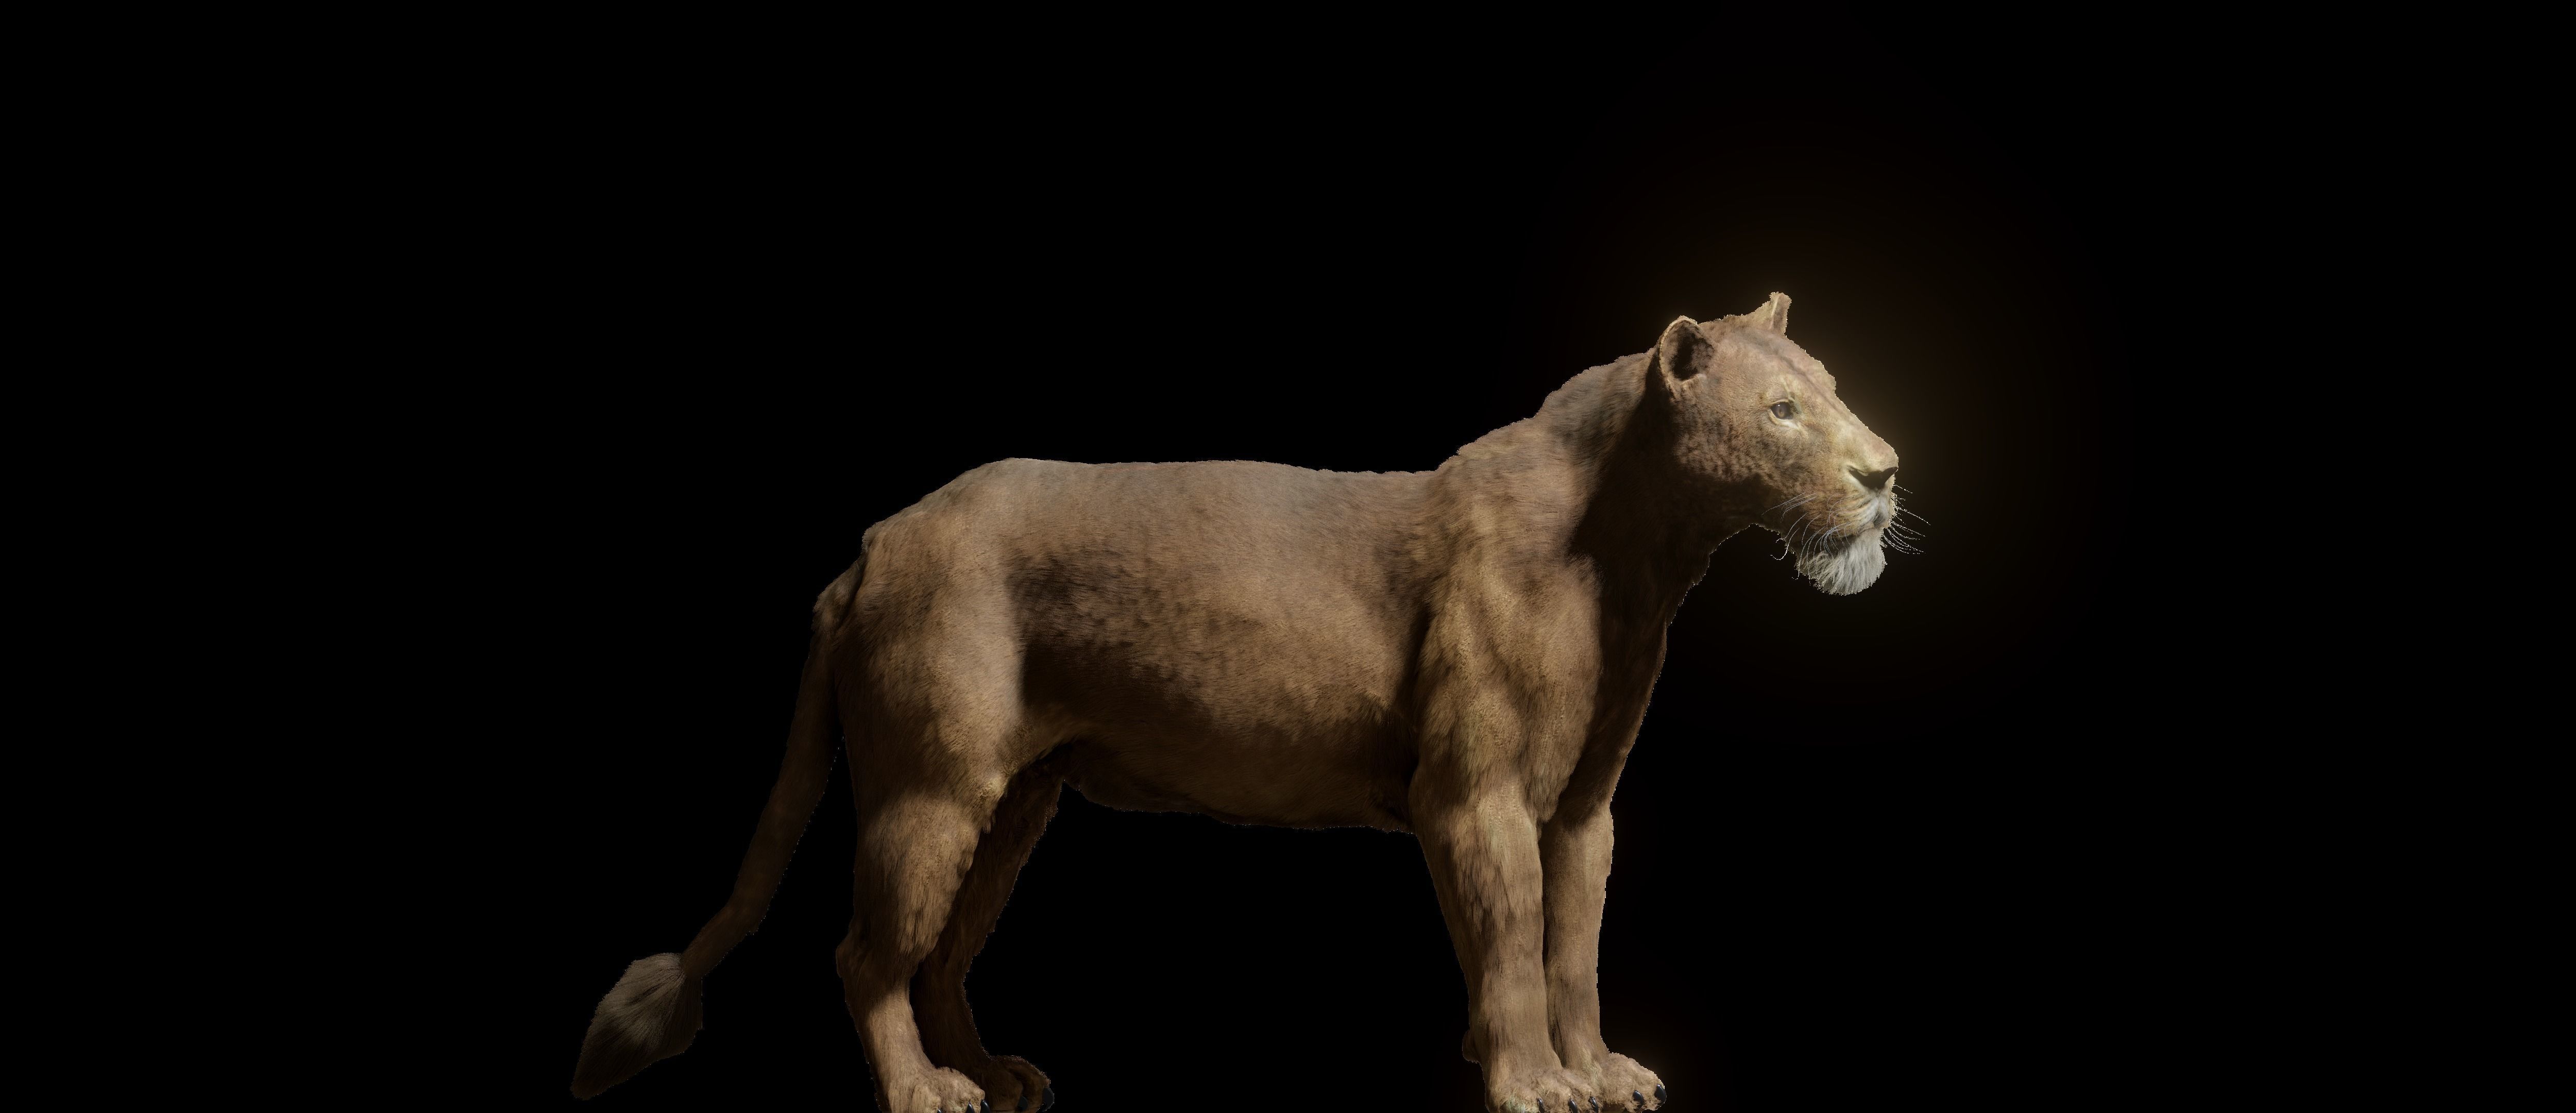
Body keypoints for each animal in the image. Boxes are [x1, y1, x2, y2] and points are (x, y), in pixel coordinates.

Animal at [573, 294, 1903, 1112]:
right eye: (1783, 411)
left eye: (1837, 385)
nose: (1884, 471)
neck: (1639, 552)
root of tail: (869, 545)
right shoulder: (1472, 797)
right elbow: (1514, 947)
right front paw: (1532, 1082)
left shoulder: (1581, 809)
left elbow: (1571, 950)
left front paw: (1604, 1072)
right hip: (928, 785)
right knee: (866, 950)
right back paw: (924, 1094)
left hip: (1015, 802)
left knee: (941, 952)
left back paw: (999, 1076)